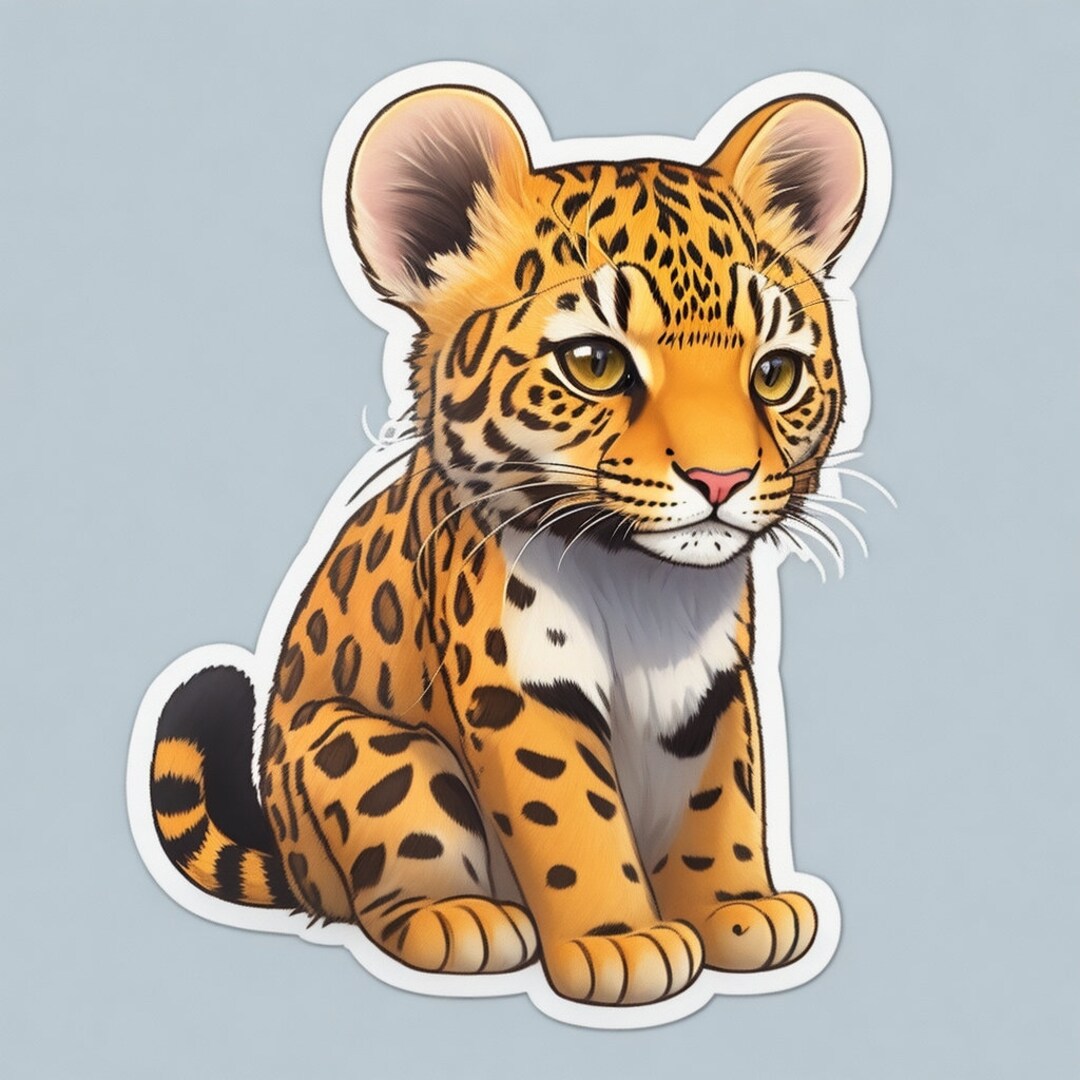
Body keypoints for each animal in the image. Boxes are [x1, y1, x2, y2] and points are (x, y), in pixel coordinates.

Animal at [144, 76, 878, 1009]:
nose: (722, 480)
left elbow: (724, 802)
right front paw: (623, 941)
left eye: (775, 373)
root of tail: (297, 865)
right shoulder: (521, 687)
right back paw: (460, 918)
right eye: (596, 363)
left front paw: (739, 911)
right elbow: (571, 819)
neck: (644, 588)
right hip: (371, 749)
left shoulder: (712, 688)